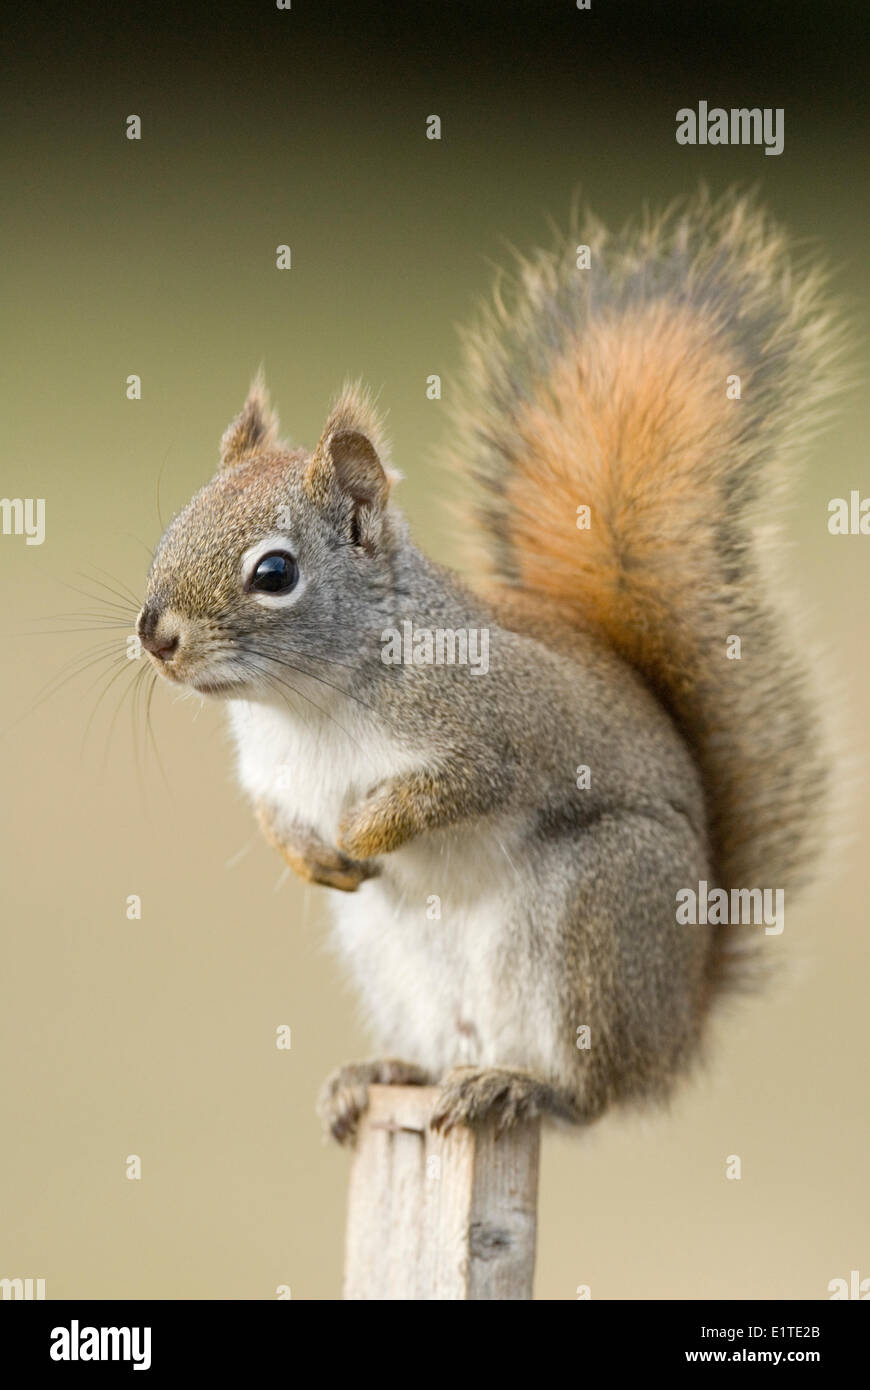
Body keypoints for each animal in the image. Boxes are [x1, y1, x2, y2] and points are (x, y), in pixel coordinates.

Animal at [137, 192, 841, 1142]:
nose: (154, 635)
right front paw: (310, 854)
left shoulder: (498, 727)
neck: (307, 701)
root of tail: (679, 1024)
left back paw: (518, 1088)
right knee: (441, 1052)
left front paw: (363, 830)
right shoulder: (270, 769)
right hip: (395, 960)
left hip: (599, 917)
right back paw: (382, 1073)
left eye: (274, 572)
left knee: (589, 1093)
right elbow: (272, 813)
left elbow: (458, 787)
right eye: (175, 525)